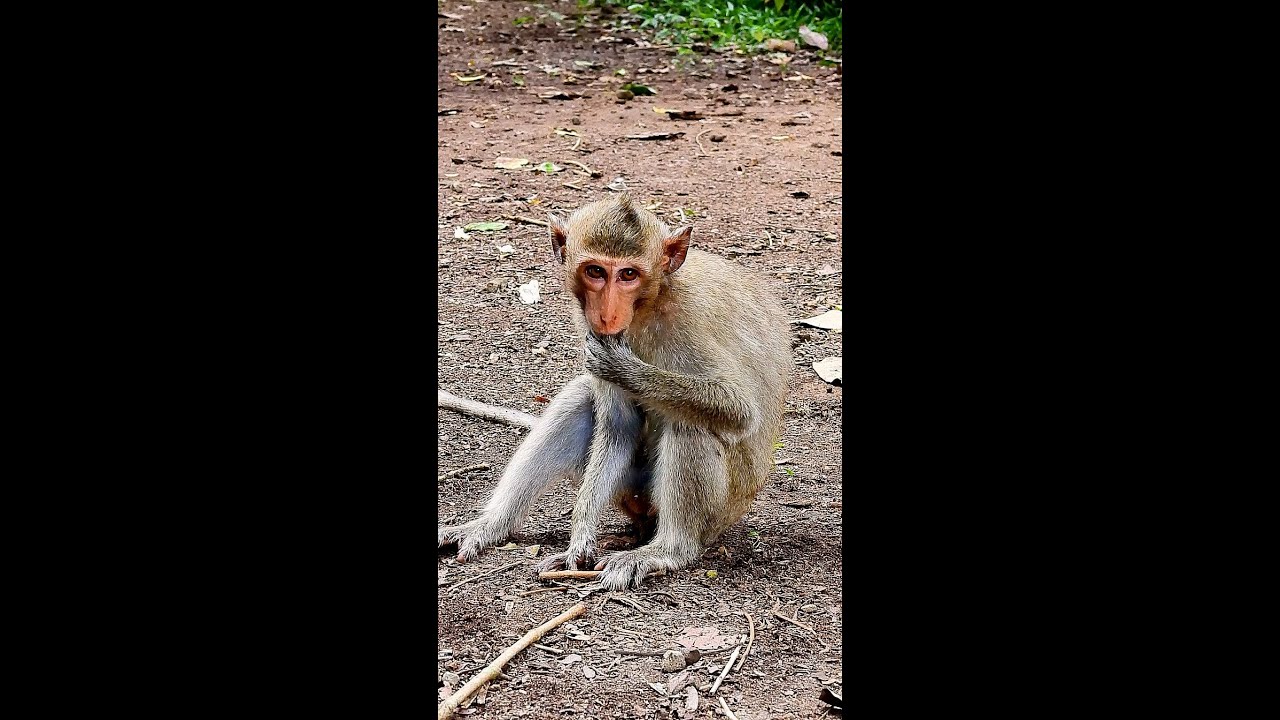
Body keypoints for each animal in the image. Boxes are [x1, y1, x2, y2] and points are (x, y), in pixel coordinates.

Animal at [438, 193, 791, 590]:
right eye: (595, 272)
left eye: (628, 275)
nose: (606, 315)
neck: (652, 301)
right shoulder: (586, 324)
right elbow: (618, 425)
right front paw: (579, 536)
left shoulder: (688, 320)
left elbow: (739, 410)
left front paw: (623, 368)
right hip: (630, 491)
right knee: (581, 398)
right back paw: (490, 525)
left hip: (725, 507)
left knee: (692, 422)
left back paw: (666, 549)